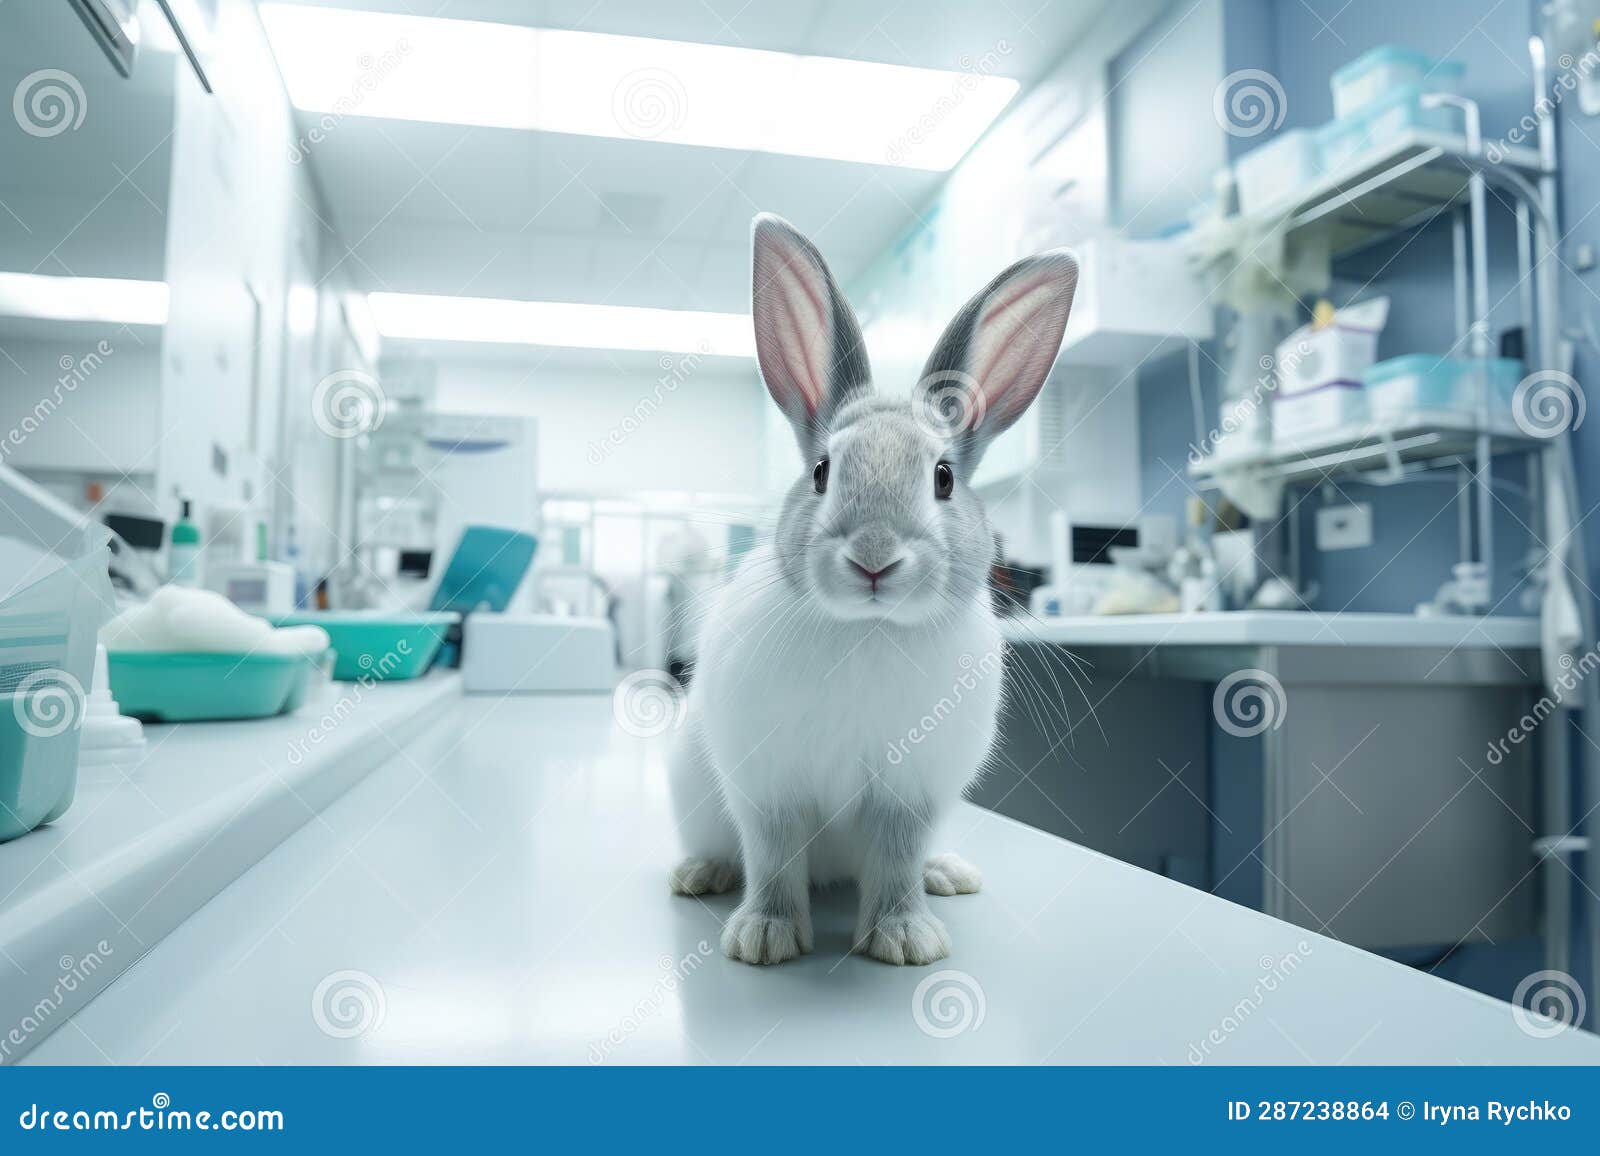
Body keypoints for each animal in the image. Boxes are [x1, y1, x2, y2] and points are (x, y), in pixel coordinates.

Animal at [668, 213, 1078, 966]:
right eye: (822, 471)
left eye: (944, 478)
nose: (875, 559)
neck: (868, 628)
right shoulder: (770, 788)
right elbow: (772, 856)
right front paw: (764, 940)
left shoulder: (908, 797)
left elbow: (896, 859)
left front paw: (906, 941)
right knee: (733, 853)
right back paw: (700, 874)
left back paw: (949, 875)